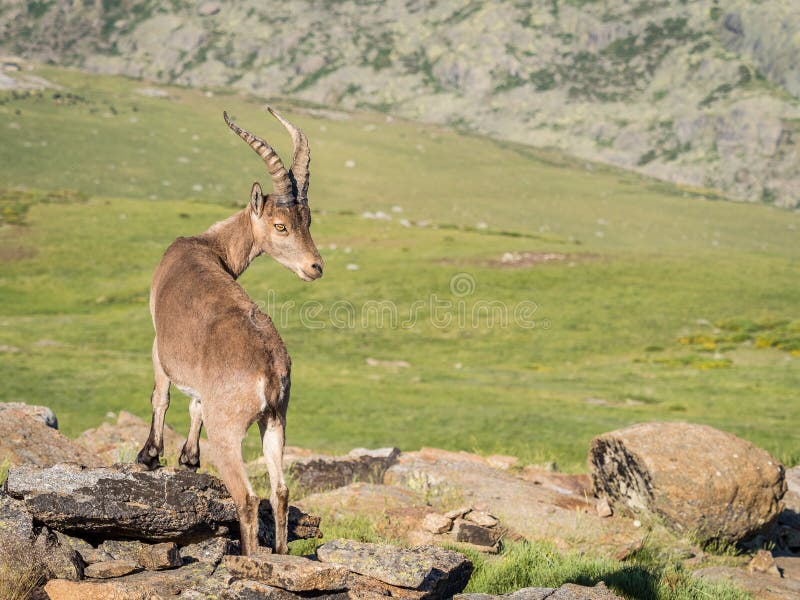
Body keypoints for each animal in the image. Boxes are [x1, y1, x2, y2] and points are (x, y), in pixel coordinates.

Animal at [136, 106, 323, 555]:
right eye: (282, 224)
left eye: (305, 220)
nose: (315, 267)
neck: (209, 246)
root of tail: (269, 373)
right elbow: (194, 405)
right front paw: (188, 458)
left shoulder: (158, 345)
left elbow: (162, 396)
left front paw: (150, 457)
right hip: (276, 421)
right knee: (280, 490)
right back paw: (281, 554)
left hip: (230, 432)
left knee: (247, 496)